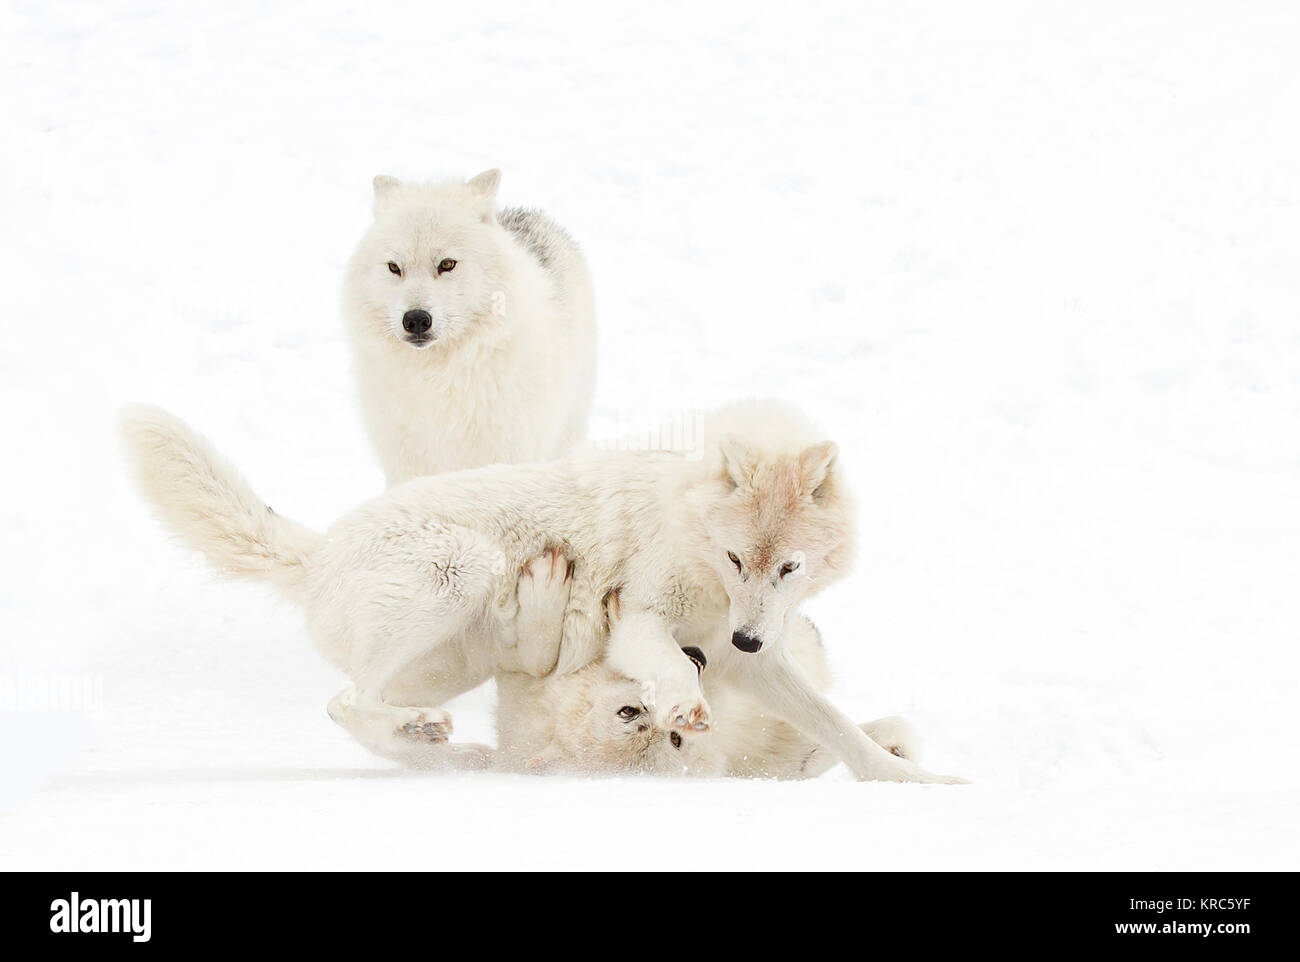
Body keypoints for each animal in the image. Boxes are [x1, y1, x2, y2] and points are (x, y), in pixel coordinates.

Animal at [119, 400, 964, 784]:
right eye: (734, 557)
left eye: (787, 567)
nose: (750, 635)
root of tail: (320, 548)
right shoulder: (645, 625)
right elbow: (675, 669)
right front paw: (683, 706)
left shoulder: (751, 663)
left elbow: (840, 729)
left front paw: (918, 784)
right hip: (459, 572)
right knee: (343, 701)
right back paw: (426, 736)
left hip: (455, 658)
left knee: (362, 704)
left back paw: (438, 747)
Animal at [345, 169, 597, 486]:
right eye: (394, 267)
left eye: (447, 264)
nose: (415, 319)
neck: (437, 378)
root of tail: (531, 213)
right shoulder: (406, 465)